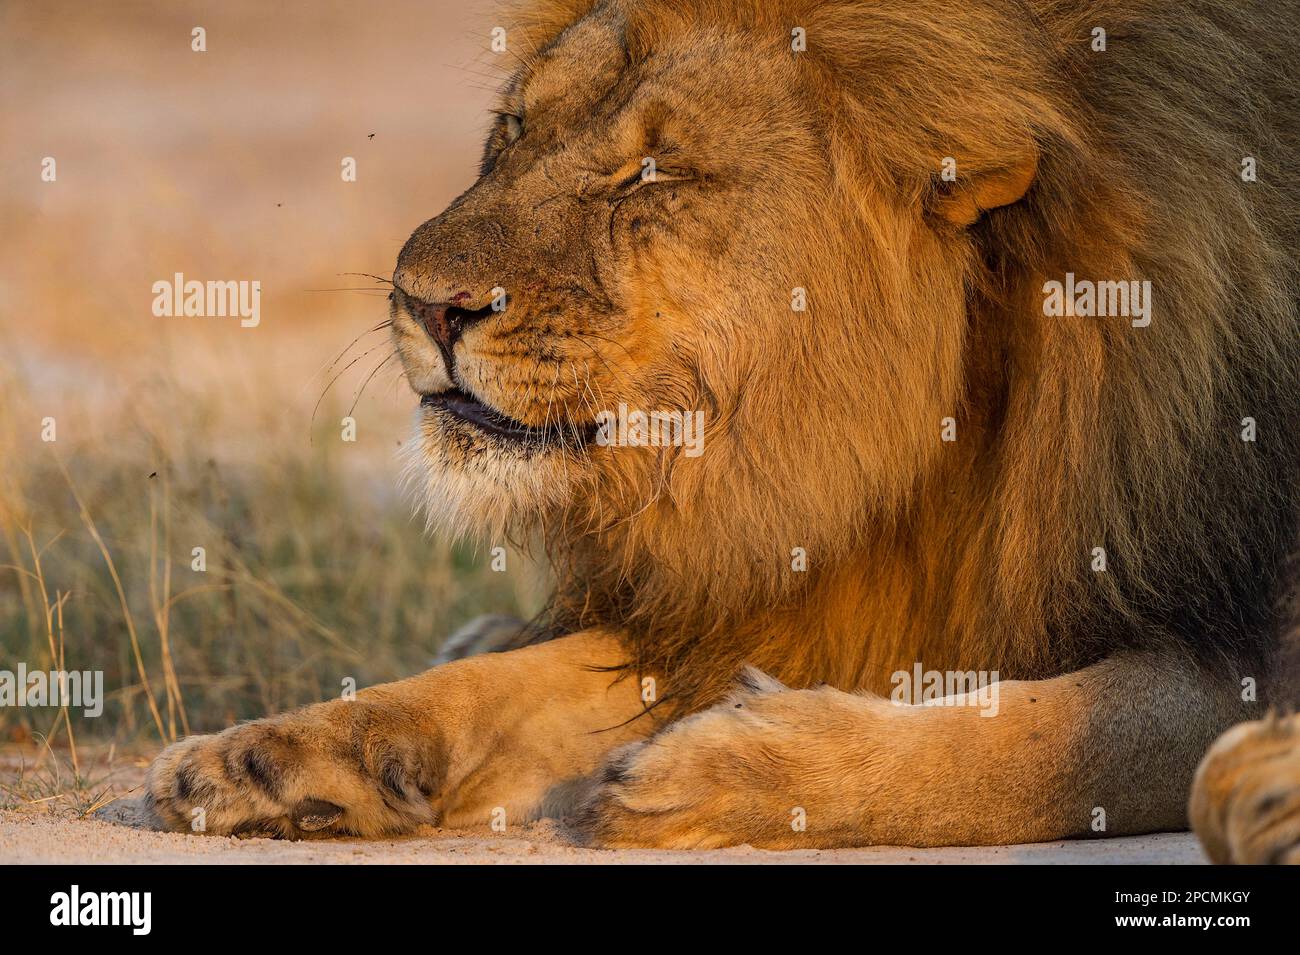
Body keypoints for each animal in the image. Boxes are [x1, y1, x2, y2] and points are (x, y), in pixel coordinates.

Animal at [144, 0, 1300, 859]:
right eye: (514, 130)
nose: (422, 302)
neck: (914, 463)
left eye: (654, 175)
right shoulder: (766, 593)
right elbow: (509, 685)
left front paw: (723, 770)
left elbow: (1043, 739)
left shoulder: (1231, 642)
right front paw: (273, 755)